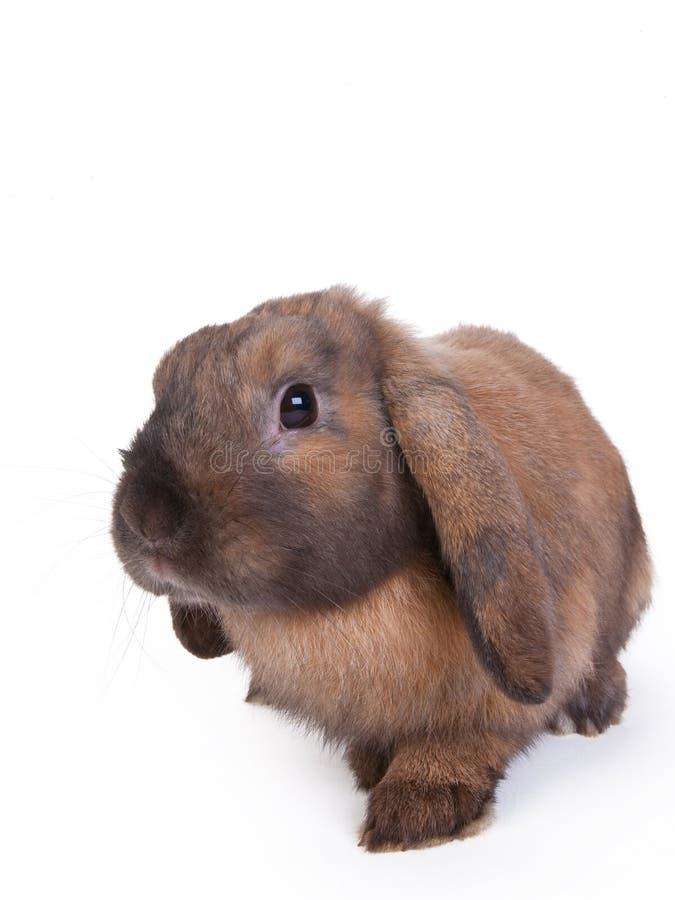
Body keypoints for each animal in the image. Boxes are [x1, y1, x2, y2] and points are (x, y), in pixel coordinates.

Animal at [112, 285, 651, 851]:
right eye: (160, 391)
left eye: (298, 405)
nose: (148, 519)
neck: (335, 607)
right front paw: (370, 762)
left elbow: (465, 740)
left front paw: (417, 811)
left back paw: (592, 709)